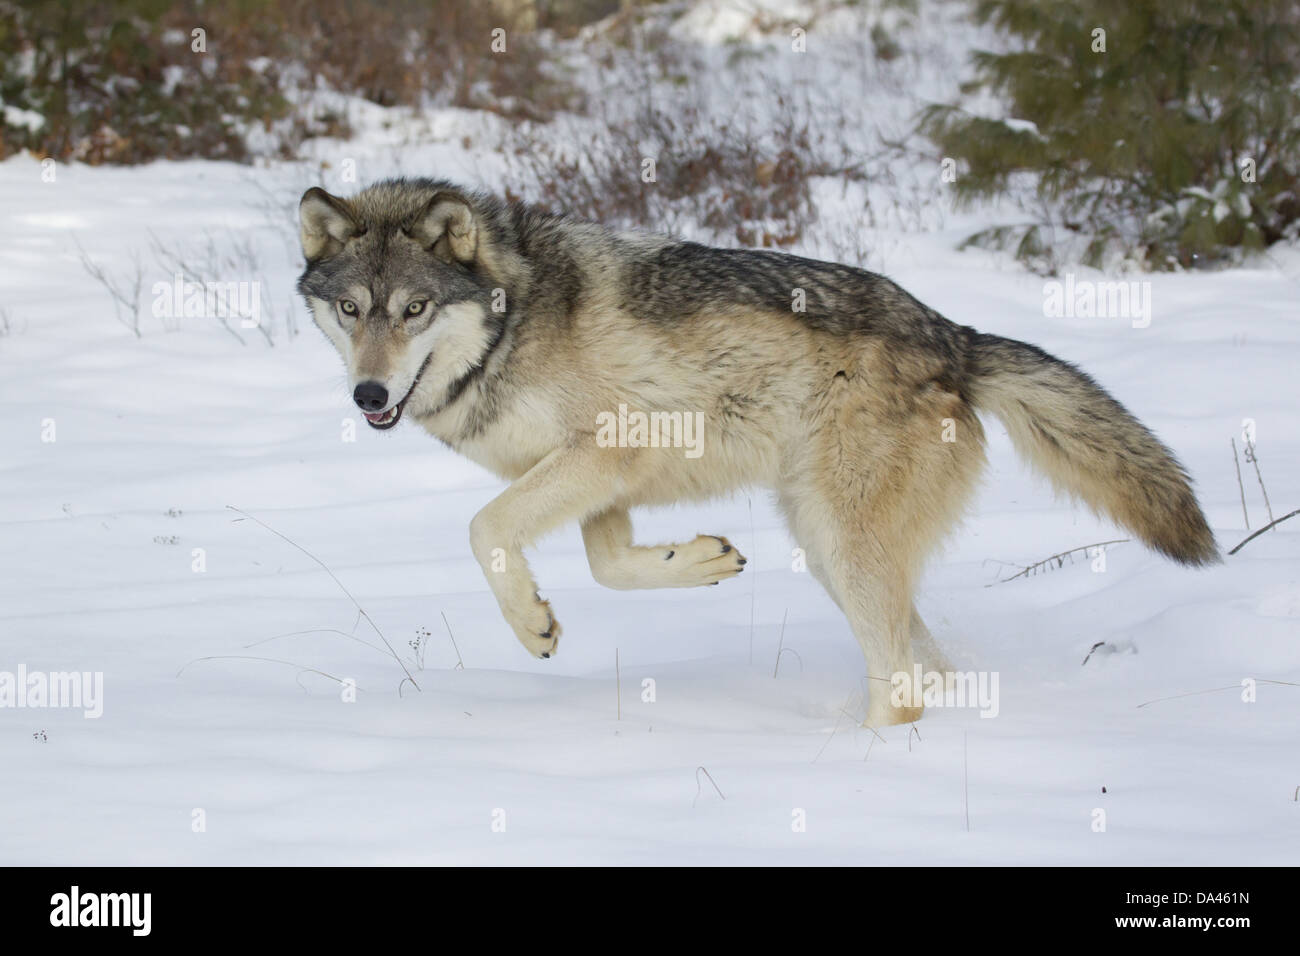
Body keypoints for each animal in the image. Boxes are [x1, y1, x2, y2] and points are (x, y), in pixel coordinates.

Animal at [297, 178, 1219, 727]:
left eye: (414, 309)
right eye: (351, 310)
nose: (368, 395)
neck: (511, 320)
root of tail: (955, 338)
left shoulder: (604, 453)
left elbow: (486, 529)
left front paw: (531, 626)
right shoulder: (606, 481)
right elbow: (610, 565)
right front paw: (700, 560)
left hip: (841, 543)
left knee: (904, 689)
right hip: (827, 545)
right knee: (930, 669)